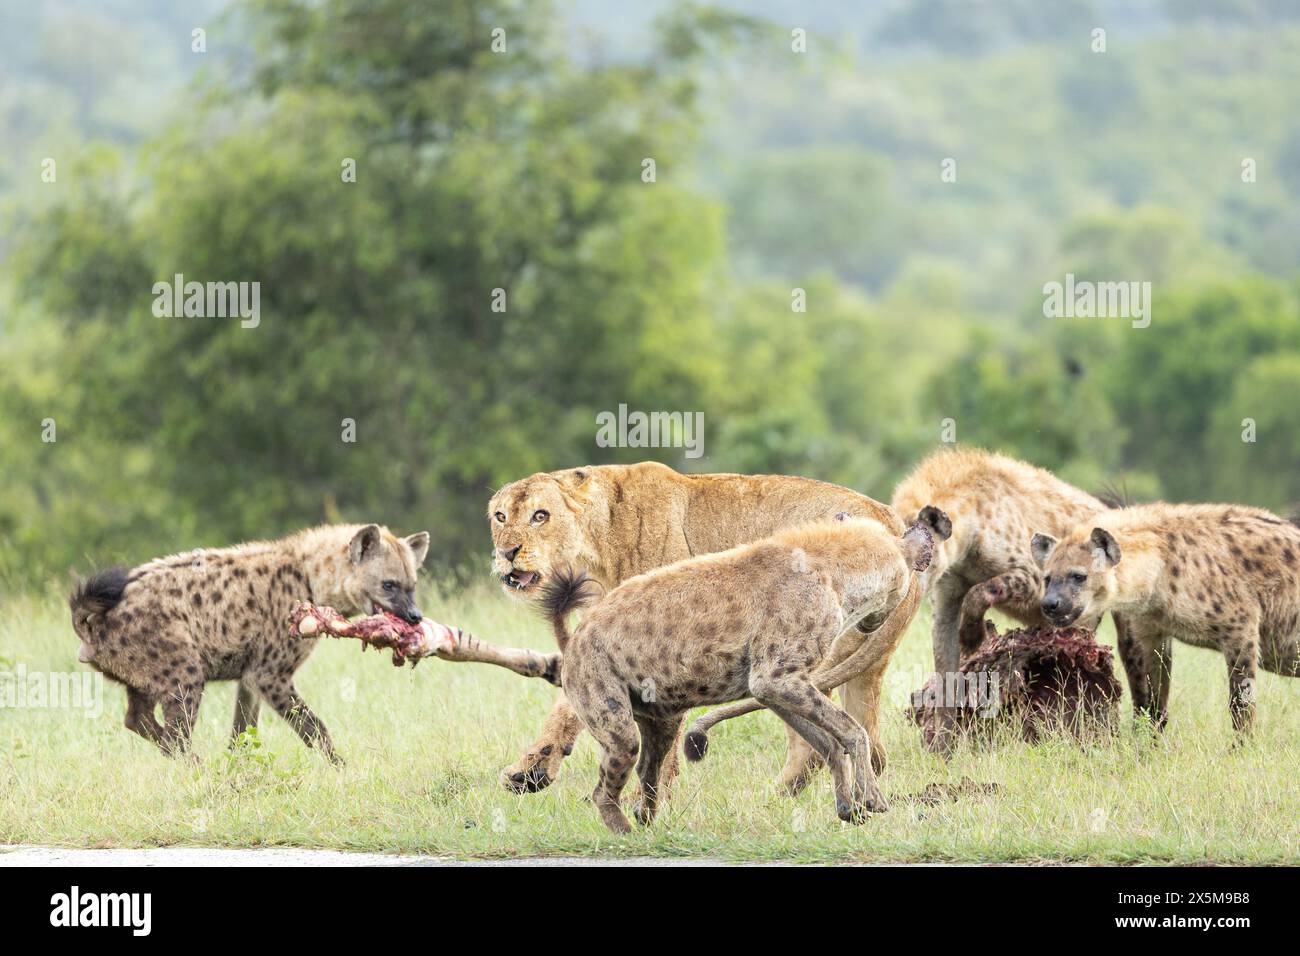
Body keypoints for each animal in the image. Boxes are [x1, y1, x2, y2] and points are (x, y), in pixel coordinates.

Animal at [487, 460, 921, 798]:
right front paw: (529, 773)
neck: (595, 545)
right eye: (500, 516)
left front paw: (651, 796)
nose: (507, 552)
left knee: (816, 742)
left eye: (541, 515)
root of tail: (894, 528)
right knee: (871, 743)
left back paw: (773, 798)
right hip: (859, 663)